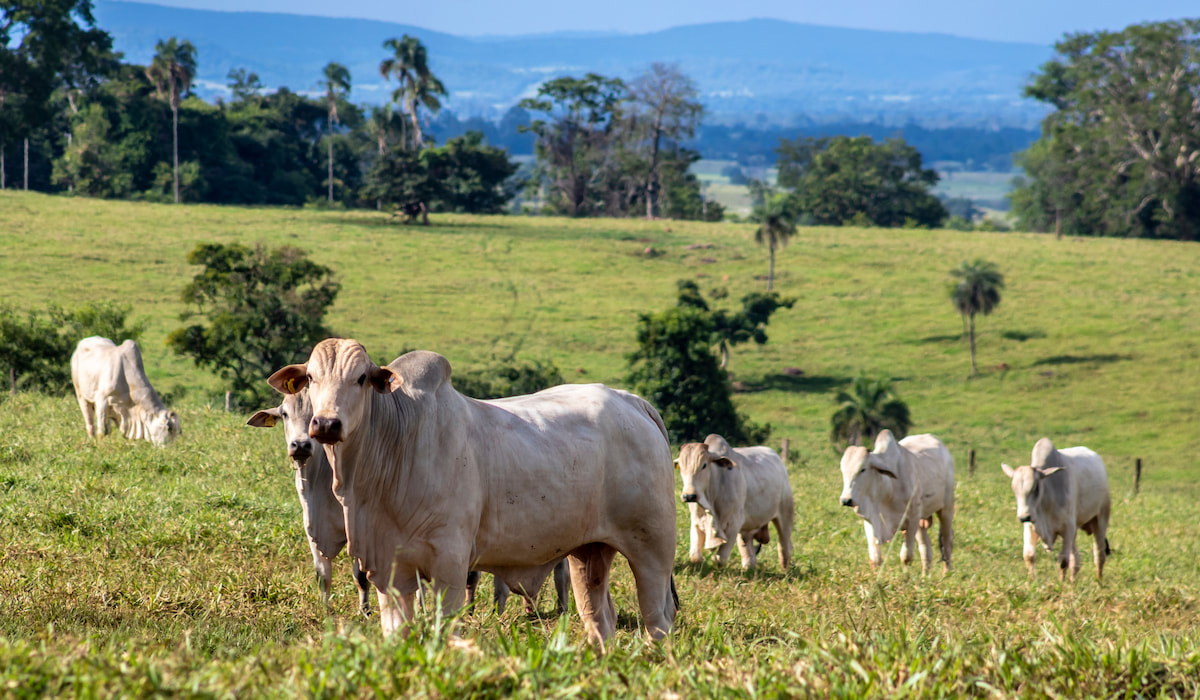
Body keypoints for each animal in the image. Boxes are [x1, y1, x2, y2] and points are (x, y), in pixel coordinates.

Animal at [248, 390, 372, 615]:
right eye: (284, 414)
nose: (300, 445)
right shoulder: (312, 527)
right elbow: (323, 575)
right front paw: (325, 612)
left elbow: (360, 575)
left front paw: (364, 612)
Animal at [266, 339, 678, 648]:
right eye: (311, 378)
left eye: (362, 378)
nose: (325, 424)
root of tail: (632, 401)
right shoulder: (389, 568)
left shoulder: (450, 562)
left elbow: (446, 626)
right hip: (588, 552)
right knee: (599, 619)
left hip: (652, 549)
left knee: (658, 619)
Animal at [675, 434, 794, 571]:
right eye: (681, 467)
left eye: (704, 465)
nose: (689, 496)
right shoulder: (696, 522)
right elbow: (695, 557)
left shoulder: (733, 524)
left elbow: (720, 559)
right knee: (748, 550)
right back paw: (748, 568)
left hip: (785, 514)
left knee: (785, 546)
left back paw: (785, 569)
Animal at [838, 430, 955, 574]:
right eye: (843, 470)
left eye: (863, 469)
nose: (845, 500)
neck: (886, 490)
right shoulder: (870, 521)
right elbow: (875, 559)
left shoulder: (912, 519)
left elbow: (906, 557)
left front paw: (906, 576)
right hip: (921, 522)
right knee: (925, 548)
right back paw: (925, 576)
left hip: (946, 509)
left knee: (946, 542)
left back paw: (946, 573)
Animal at [1001, 438, 1111, 583]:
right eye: (1014, 490)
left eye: (1035, 488)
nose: (1023, 517)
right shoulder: (1031, 526)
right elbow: (1029, 556)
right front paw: (1031, 581)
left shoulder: (1067, 528)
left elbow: (1063, 561)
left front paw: (1061, 584)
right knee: (1076, 559)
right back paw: (1072, 582)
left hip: (1101, 518)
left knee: (1099, 554)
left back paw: (1099, 581)